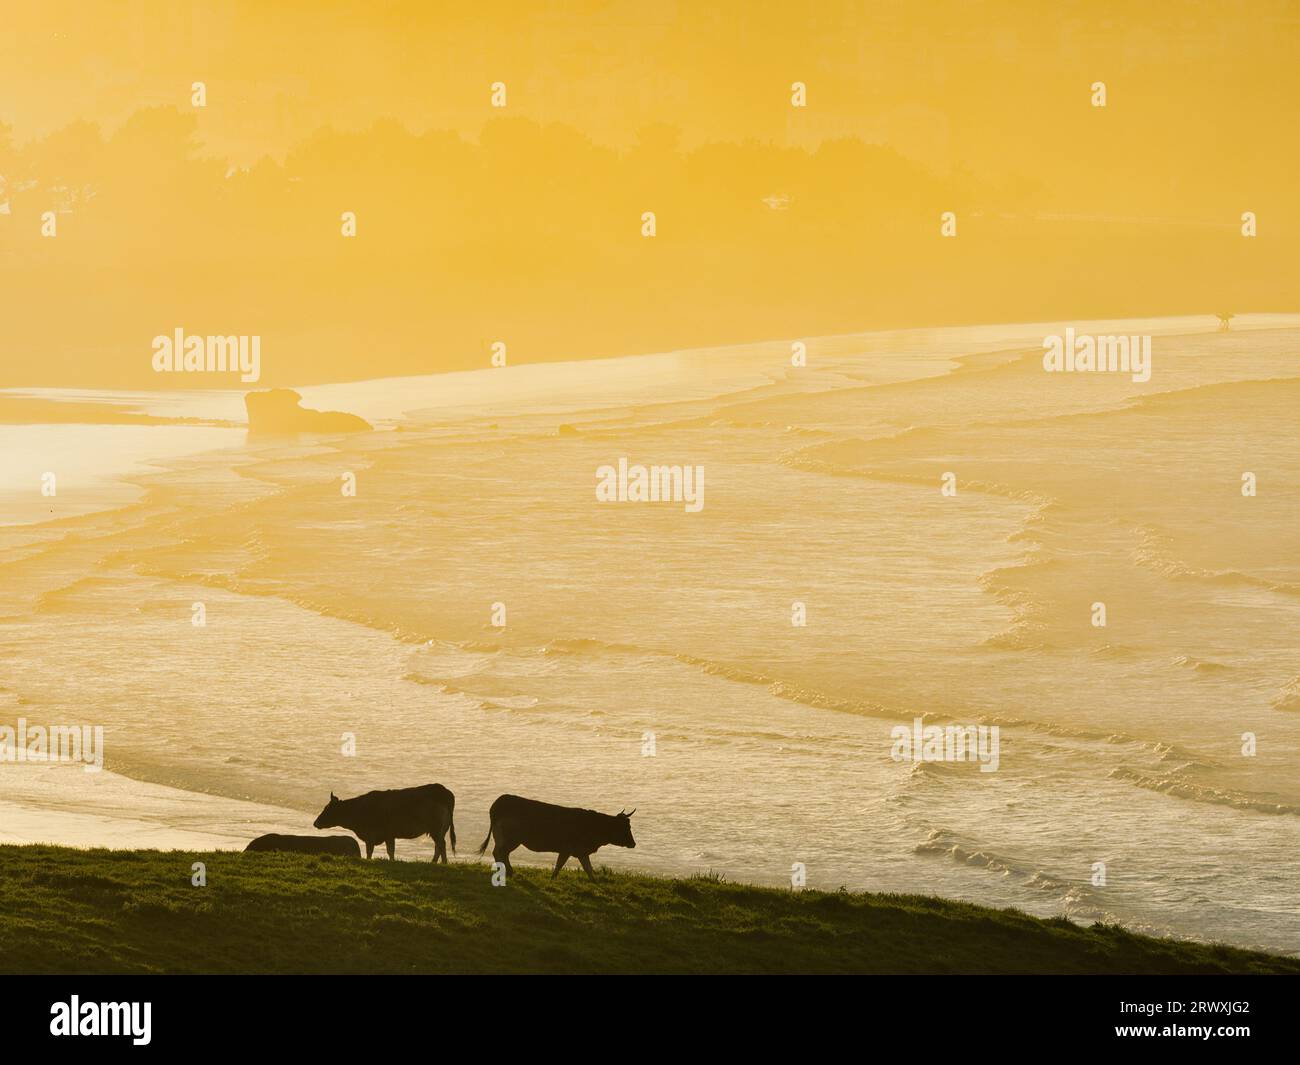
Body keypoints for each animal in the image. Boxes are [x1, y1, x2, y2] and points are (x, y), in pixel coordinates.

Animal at [312, 783, 457, 862]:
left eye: (327, 808)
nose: (315, 823)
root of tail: (443, 791)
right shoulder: (388, 835)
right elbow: (390, 851)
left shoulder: (372, 834)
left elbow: (370, 851)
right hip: (440, 830)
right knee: (438, 846)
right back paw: (433, 862)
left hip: (436, 828)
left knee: (441, 845)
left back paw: (443, 863)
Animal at [477, 794, 636, 880]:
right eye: (626, 828)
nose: (633, 844)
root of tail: (500, 802)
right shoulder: (567, 849)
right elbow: (559, 865)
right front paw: (552, 879)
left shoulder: (581, 851)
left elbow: (588, 869)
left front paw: (595, 882)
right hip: (510, 839)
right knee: (499, 853)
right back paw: (507, 872)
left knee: (501, 853)